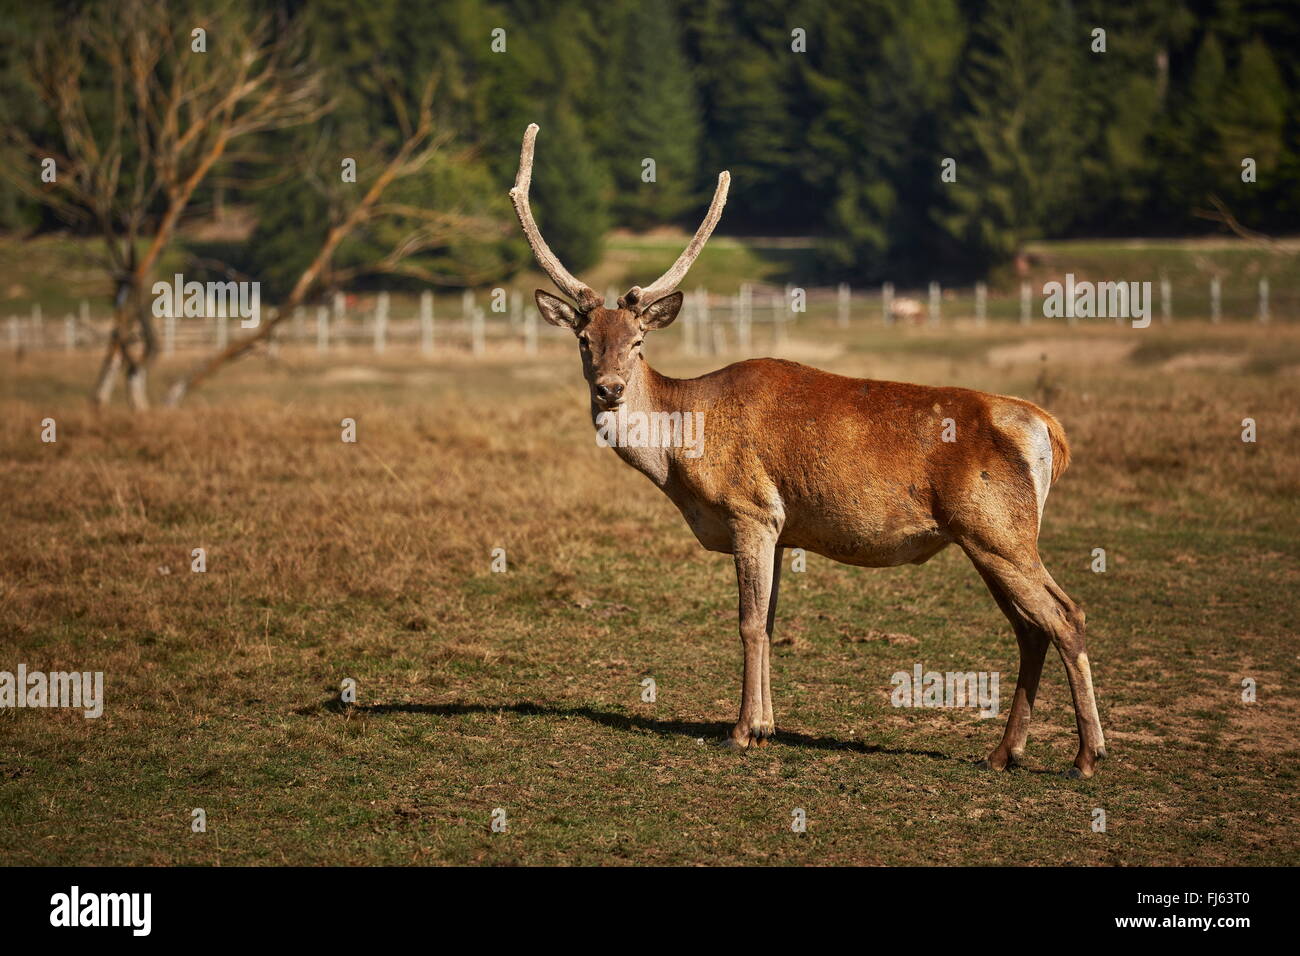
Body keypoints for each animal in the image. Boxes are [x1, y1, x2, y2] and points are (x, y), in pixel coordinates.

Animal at [509, 124, 1106, 778]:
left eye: (638, 341)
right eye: (584, 339)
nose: (610, 389)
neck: (680, 456)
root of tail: (1045, 429)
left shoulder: (751, 509)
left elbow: (748, 624)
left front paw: (741, 732)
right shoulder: (781, 528)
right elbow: (770, 624)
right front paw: (768, 726)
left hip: (998, 529)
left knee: (1065, 617)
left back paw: (1087, 755)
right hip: (990, 537)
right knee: (1032, 629)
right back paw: (1004, 752)